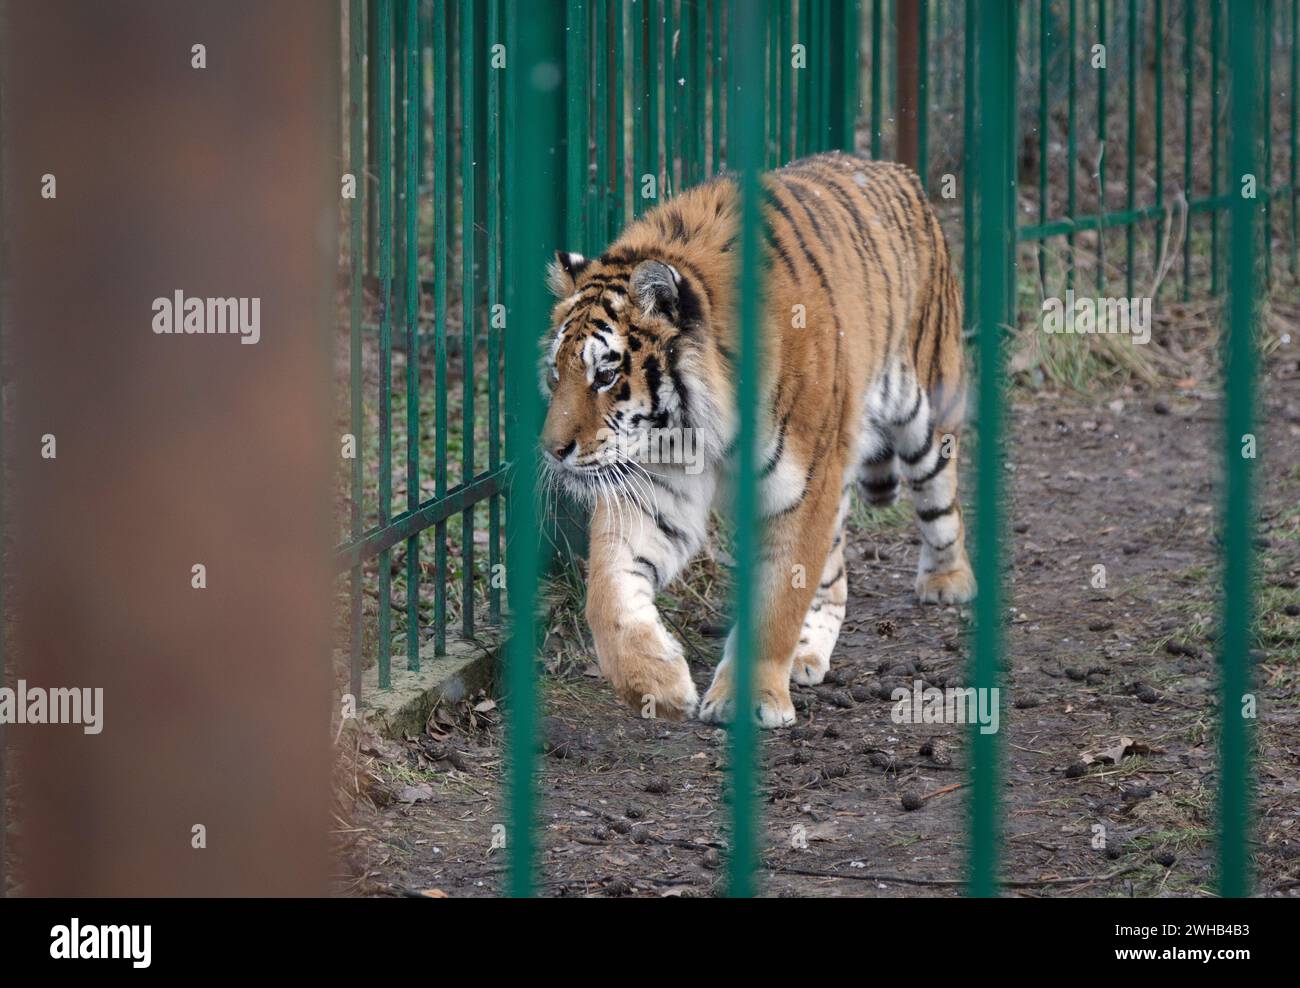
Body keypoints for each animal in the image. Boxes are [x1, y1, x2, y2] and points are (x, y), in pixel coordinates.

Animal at [540, 151, 974, 728]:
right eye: (556, 374)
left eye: (605, 375)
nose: (552, 451)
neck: (695, 431)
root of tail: (890, 166)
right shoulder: (656, 487)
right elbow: (608, 595)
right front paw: (655, 682)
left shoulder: (803, 489)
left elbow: (776, 603)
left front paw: (748, 700)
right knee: (834, 575)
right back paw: (808, 653)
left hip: (925, 409)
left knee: (940, 503)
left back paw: (948, 582)